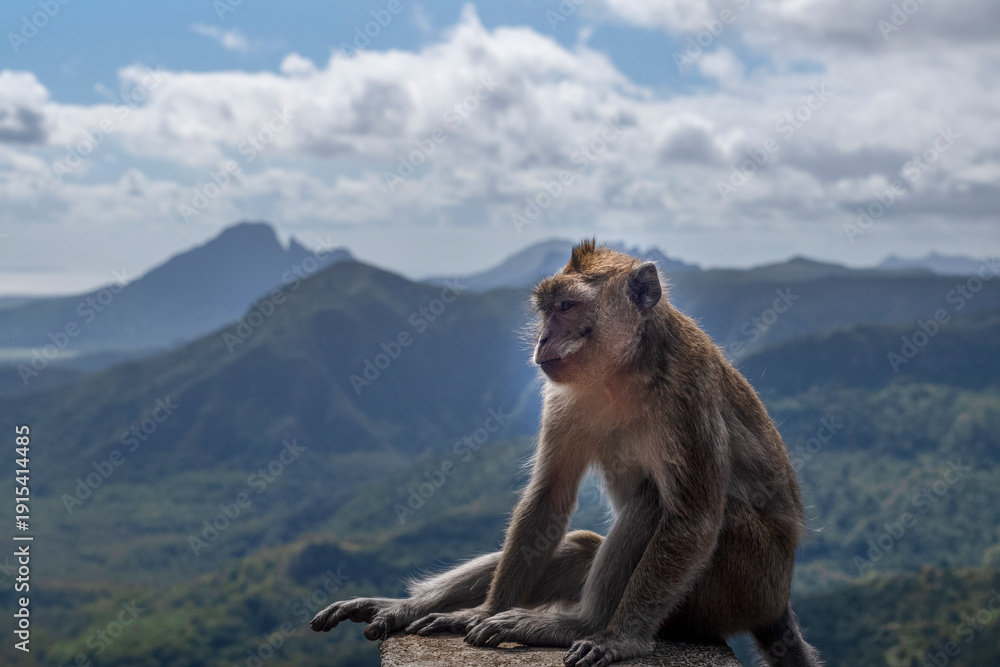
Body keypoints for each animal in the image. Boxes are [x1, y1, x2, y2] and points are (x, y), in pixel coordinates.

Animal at [311, 240, 821, 667]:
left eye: (568, 306)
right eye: (546, 311)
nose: (542, 339)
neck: (623, 372)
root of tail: (778, 600)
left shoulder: (687, 392)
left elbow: (691, 519)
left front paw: (621, 640)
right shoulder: (565, 399)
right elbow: (548, 498)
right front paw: (480, 611)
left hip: (742, 582)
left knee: (657, 502)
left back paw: (583, 625)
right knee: (577, 547)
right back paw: (415, 607)